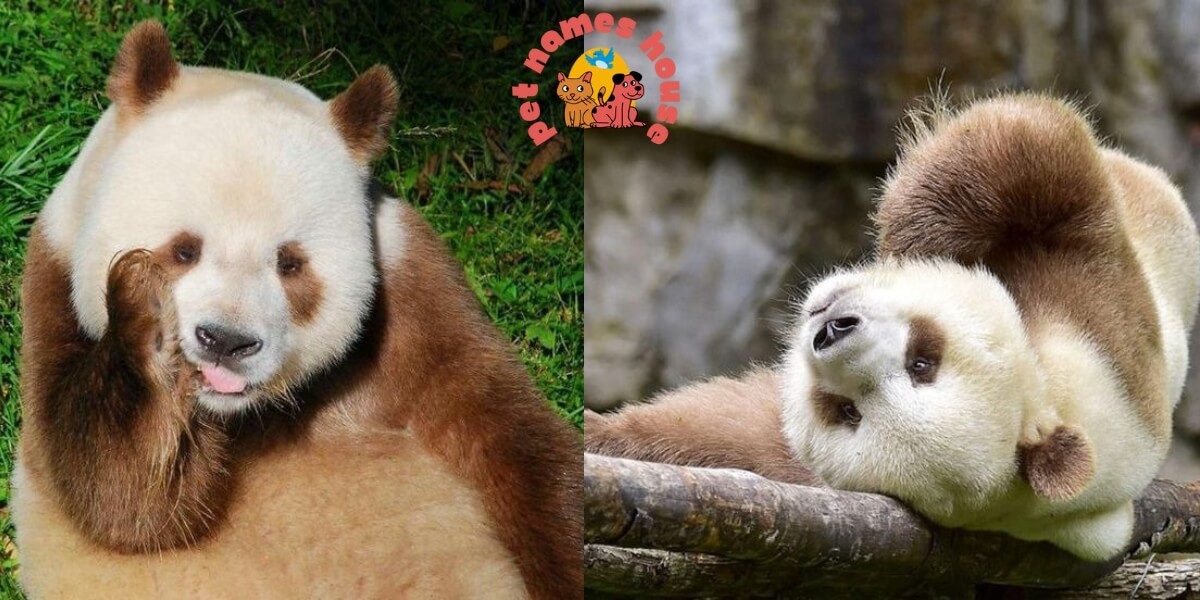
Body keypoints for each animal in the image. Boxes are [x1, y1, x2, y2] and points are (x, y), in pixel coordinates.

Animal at [12, 21, 581, 598]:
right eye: (185, 249)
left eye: (290, 263)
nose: (226, 341)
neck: (240, 416)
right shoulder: (55, 288)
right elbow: (127, 503)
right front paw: (149, 330)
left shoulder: (414, 292)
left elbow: (515, 446)